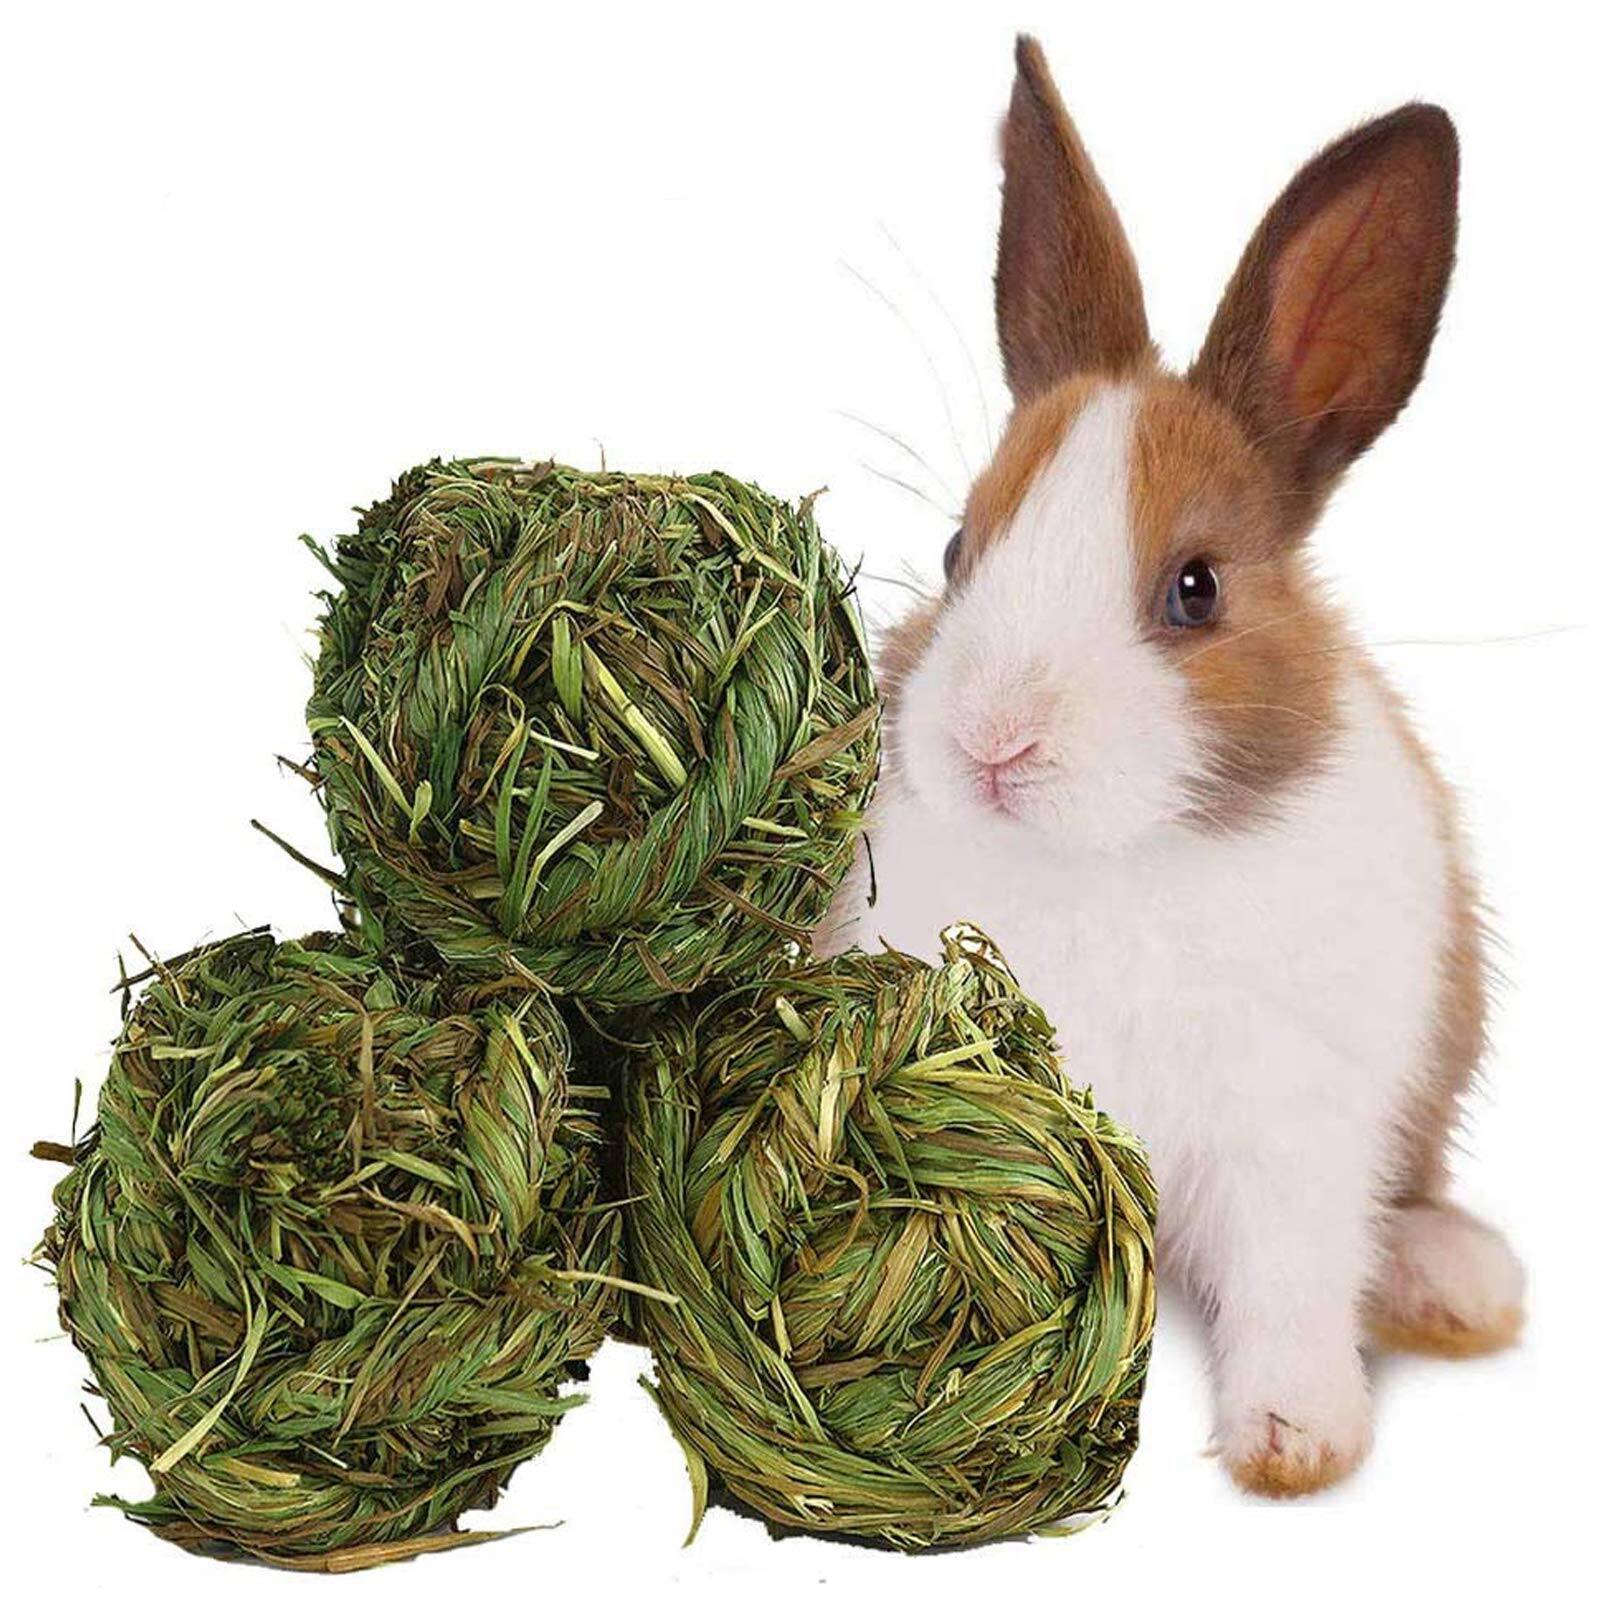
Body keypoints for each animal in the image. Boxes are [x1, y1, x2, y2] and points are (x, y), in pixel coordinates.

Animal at [817, 35, 1524, 1497]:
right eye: (959, 546)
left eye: (1193, 588)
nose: (992, 740)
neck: (1108, 859)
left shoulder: (1292, 1131)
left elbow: (1288, 1284)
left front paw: (1292, 1443)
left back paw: (1456, 1284)